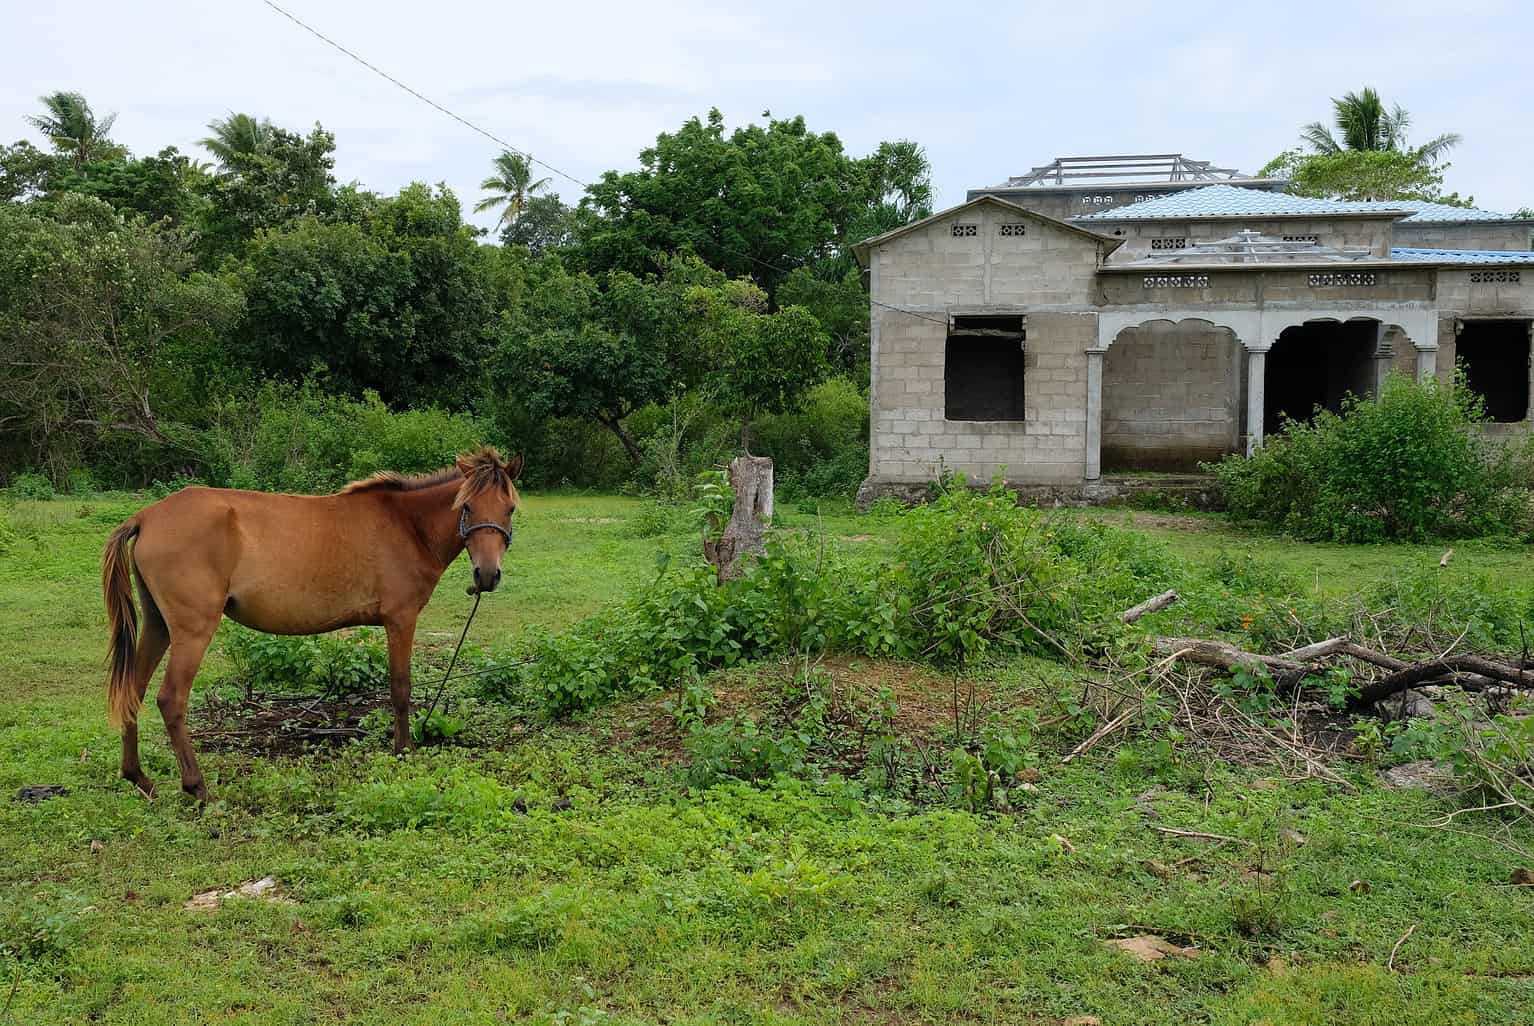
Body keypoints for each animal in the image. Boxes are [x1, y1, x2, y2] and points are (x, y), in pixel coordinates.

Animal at [101, 446, 523, 801]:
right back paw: (196, 786)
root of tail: (146, 516)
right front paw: (404, 750)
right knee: (171, 699)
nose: (487, 575)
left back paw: (138, 777)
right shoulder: (400, 620)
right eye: (467, 506)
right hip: (192, 631)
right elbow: (401, 688)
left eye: (509, 509)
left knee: (133, 691)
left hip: (158, 625)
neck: (407, 525)